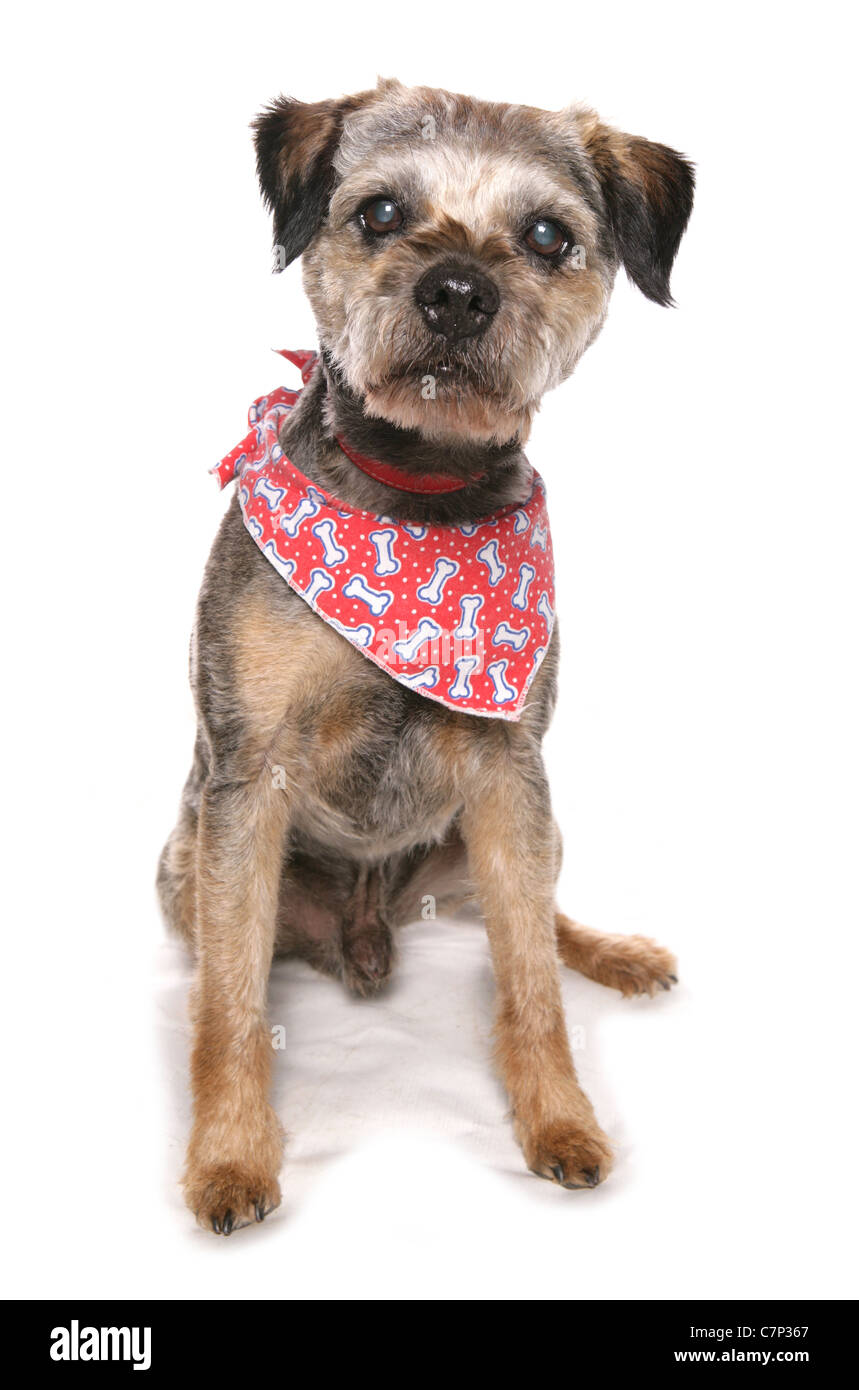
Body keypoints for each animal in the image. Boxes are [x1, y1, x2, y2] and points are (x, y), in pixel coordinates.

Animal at [157, 76, 692, 1234]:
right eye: (381, 213)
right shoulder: (246, 782)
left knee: (533, 918)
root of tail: (369, 925)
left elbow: (531, 984)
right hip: (183, 866)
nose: (456, 291)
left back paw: (615, 952)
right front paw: (228, 1157)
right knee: (224, 951)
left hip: (515, 836)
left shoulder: (508, 772)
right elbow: (229, 1008)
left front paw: (560, 1121)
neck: (418, 499)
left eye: (546, 236)